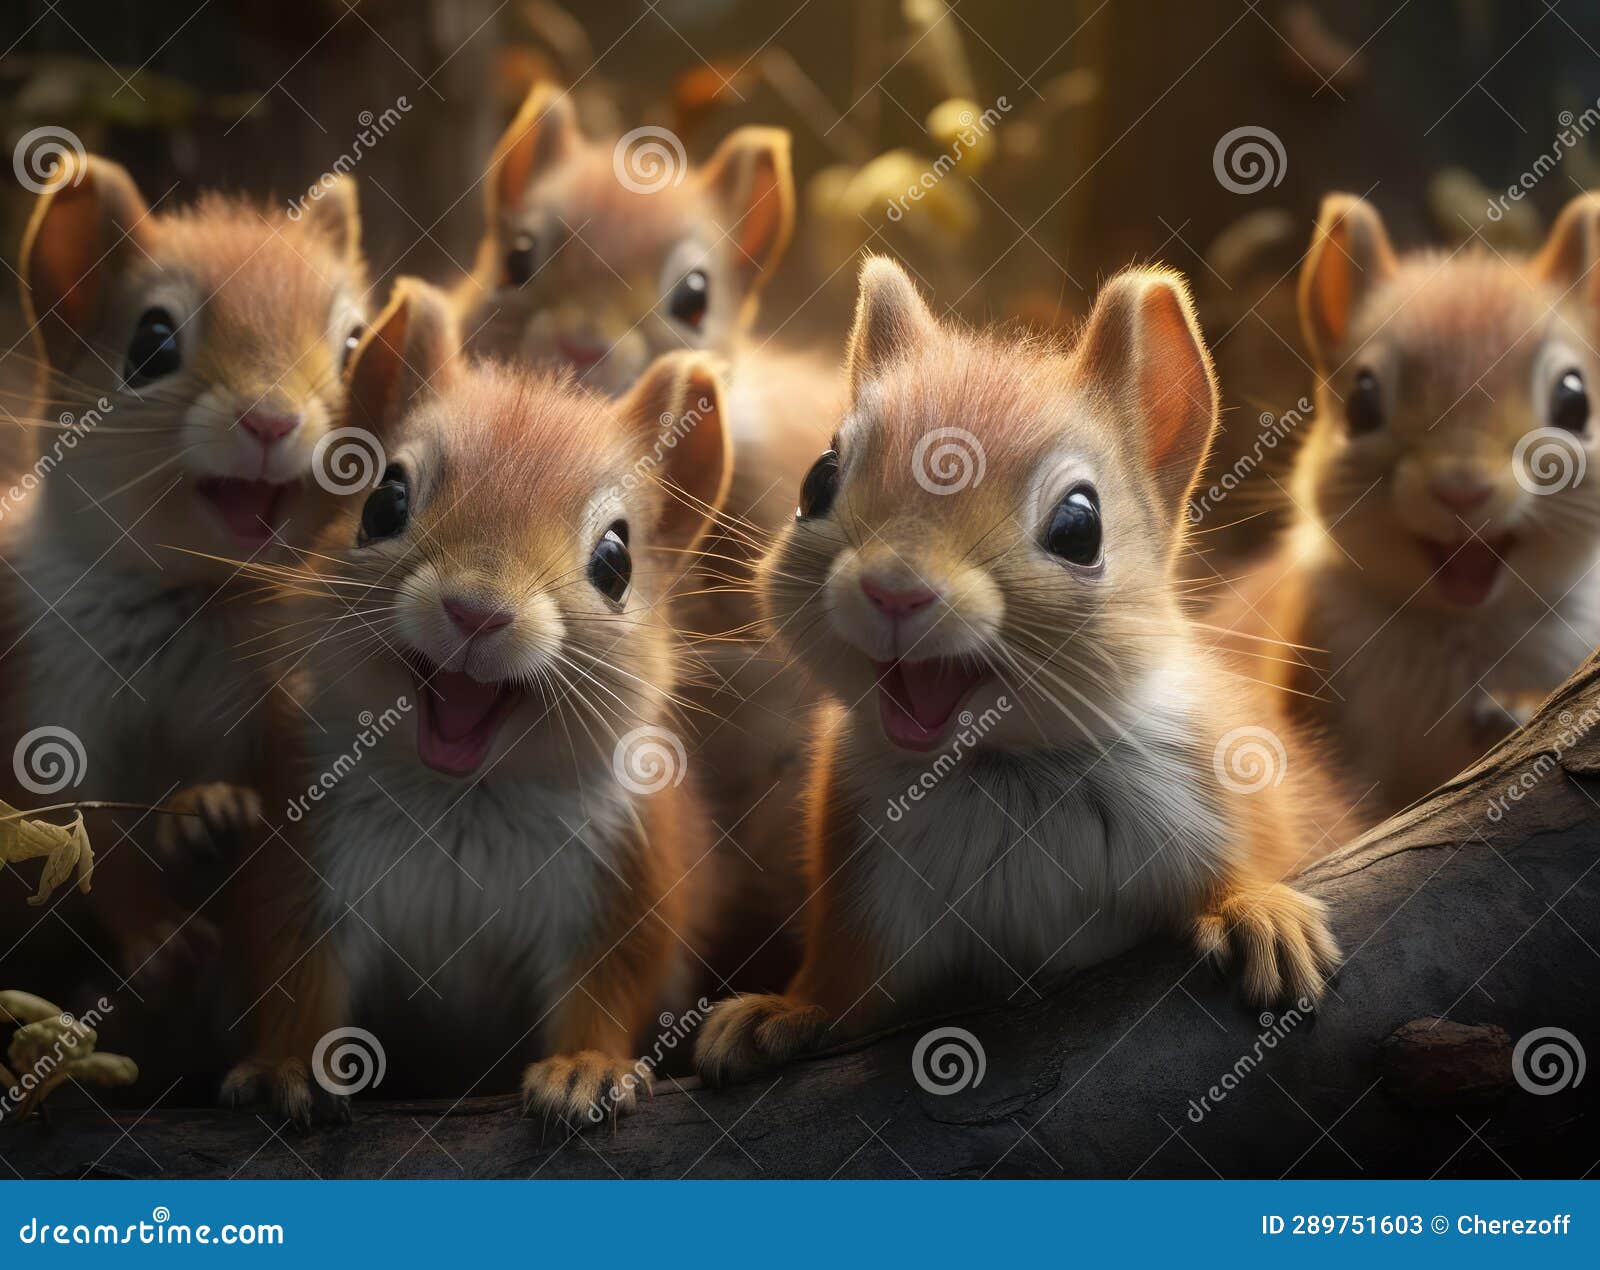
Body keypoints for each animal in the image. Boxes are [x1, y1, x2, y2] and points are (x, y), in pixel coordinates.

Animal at [0, 153, 368, 994]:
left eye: (356, 346)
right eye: (151, 343)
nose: (271, 420)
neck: (195, 594)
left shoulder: (277, 700)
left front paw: (211, 805)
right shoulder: (47, 705)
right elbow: (89, 843)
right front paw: (157, 935)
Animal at [218, 279, 732, 1124]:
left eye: (616, 561)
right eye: (383, 502)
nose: (476, 610)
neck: (465, 795)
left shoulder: (625, 879)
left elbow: (608, 984)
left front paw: (585, 1069)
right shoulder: (304, 851)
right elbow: (296, 971)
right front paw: (286, 1065)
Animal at [694, 257, 1346, 1085]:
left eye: (1078, 526)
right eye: (818, 481)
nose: (895, 588)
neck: (1004, 766)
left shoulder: (1225, 792)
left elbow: (1249, 866)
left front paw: (1255, 910)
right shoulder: (861, 894)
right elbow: (848, 992)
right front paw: (781, 1012)